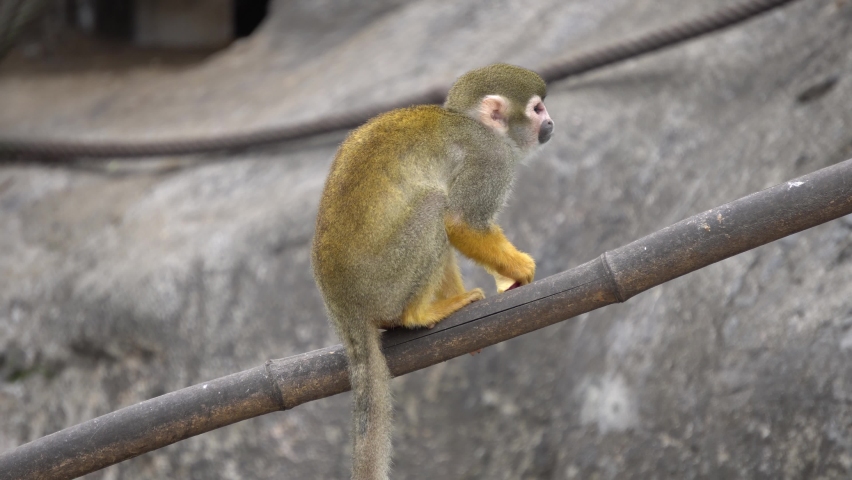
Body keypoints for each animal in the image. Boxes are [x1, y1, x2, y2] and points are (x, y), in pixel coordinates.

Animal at [311, 63, 554, 480]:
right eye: (537, 109)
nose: (551, 122)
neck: (472, 123)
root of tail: (342, 307)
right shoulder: (489, 159)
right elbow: (459, 222)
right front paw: (520, 269)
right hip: (385, 282)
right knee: (434, 204)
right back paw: (418, 314)